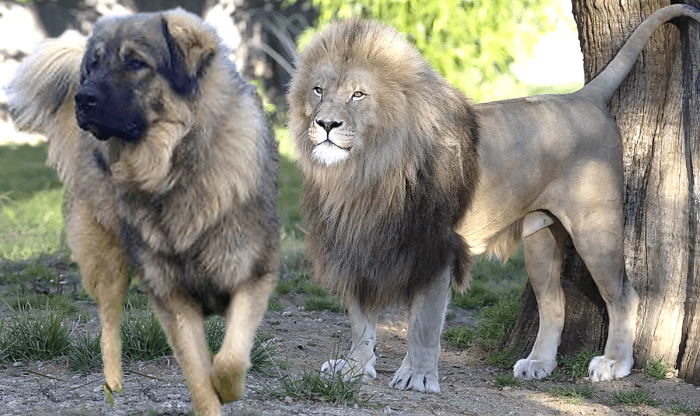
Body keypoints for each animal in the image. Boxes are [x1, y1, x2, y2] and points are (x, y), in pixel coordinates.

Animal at [7, 9, 279, 416]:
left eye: (135, 63)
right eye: (94, 64)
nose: (83, 98)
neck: (171, 167)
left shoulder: (252, 277)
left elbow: (229, 360)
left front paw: (227, 387)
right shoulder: (171, 296)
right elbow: (200, 377)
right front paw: (213, 393)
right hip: (105, 261)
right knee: (108, 318)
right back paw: (112, 384)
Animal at [287, 5, 700, 393]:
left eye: (358, 94)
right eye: (318, 90)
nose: (326, 124)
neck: (362, 171)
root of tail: (583, 96)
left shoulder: (437, 247)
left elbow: (423, 322)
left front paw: (417, 376)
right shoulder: (352, 242)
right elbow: (359, 318)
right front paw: (355, 367)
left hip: (595, 229)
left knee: (624, 294)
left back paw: (615, 362)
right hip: (540, 239)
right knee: (554, 303)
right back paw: (538, 363)